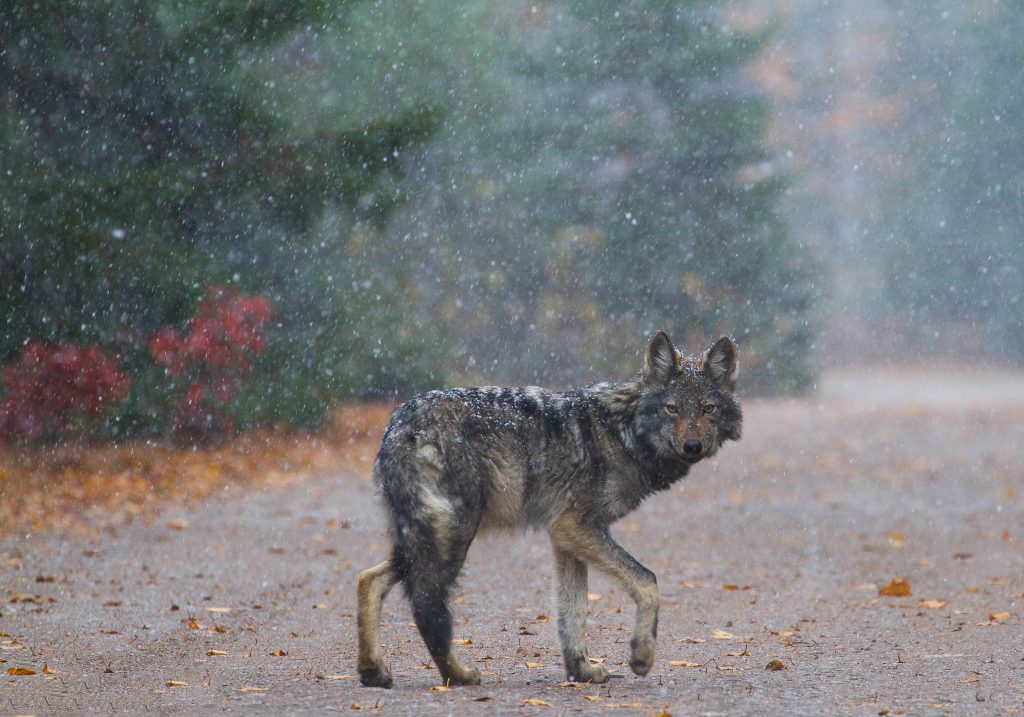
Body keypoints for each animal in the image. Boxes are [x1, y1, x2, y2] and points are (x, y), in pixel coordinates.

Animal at [357, 331, 742, 688]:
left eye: (707, 409)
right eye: (673, 408)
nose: (692, 446)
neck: (624, 432)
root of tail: (399, 423)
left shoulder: (565, 536)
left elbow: (573, 612)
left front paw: (581, 671)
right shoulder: (574, 526)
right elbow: (648, 581)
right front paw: (641, 656)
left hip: (423, 539)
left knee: (368, 579)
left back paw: (373, 672)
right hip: (454, 535)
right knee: (425, 605)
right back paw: (458, 675)